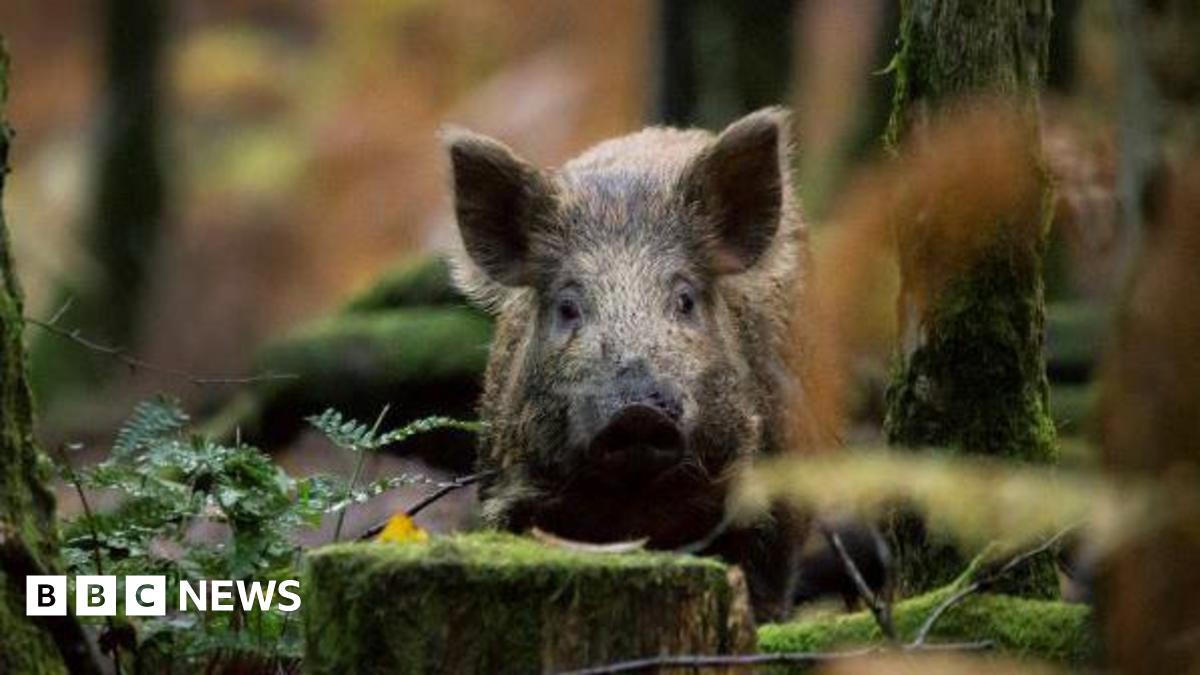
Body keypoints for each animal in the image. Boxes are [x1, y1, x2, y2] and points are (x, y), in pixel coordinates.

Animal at [443, 108, 814, 621]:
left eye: (684, 300)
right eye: (568, 307)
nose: (637, 410)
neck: (637, 505)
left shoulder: (770, 502)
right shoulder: (511, 497)